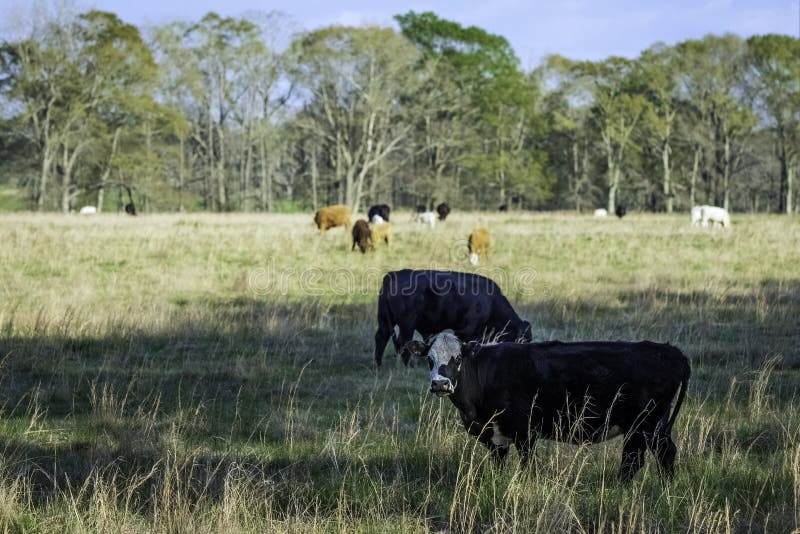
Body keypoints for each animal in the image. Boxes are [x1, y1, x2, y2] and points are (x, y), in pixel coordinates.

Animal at [373, 270, 532, 367]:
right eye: (522, 339)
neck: (490, 301)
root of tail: (392, 275)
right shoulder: (466, 331)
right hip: (407, 324)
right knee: (403, 342)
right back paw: (407, 366)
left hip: (384, 320)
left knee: (381, 337)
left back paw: (378, 364)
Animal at [406, 332, 690, 481]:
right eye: (429, 359)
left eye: (457, 359)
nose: (440, 384)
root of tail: (671, 352)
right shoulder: (495, 436)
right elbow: (499, 464)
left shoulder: (525, 432)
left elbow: (527, 465)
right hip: (646, 427)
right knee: (645, 458)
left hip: (647, 423)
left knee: (651, 456)